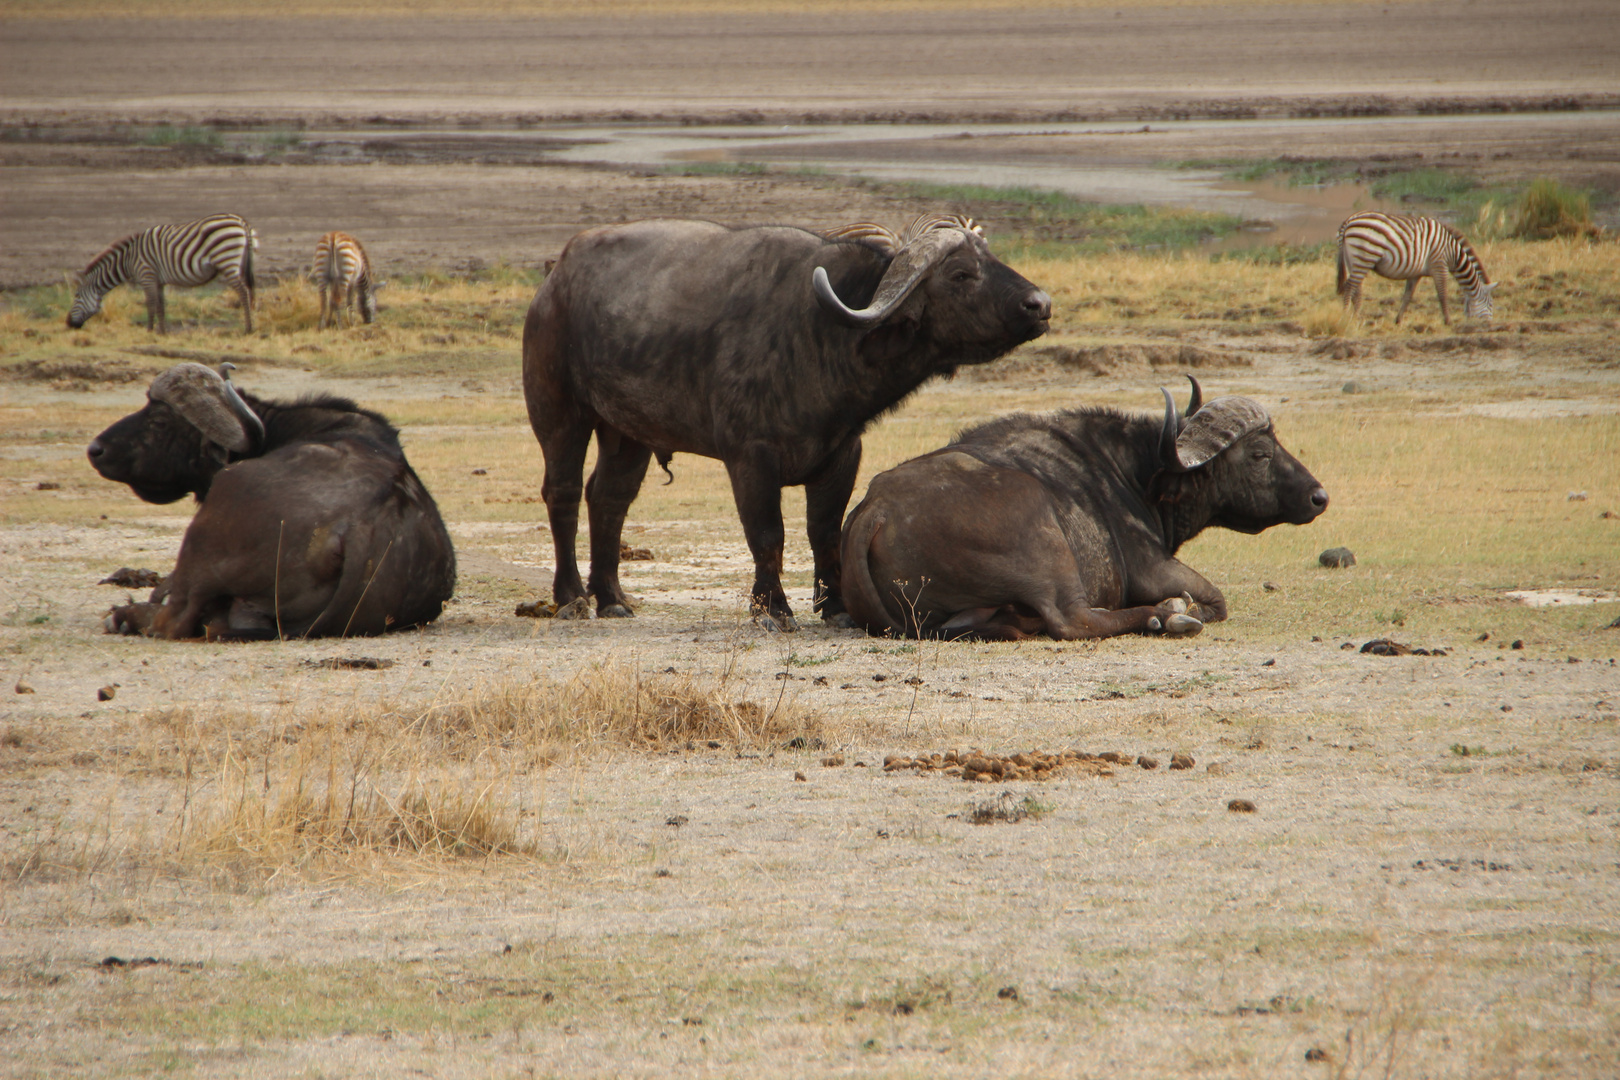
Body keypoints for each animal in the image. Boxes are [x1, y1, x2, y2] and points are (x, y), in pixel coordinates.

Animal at [70, 210, 257, 330]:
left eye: (77, 296)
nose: (68, 324)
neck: (128, 259)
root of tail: (241, 221)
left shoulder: (146, 275)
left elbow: (151, 303)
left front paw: (150, 330)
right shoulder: (158, 280)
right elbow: (161, 305)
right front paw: (161, 331)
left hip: (226, 260)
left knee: (242, 291)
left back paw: (248, 328)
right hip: (241, 262)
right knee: (249, 290)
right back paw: (251, 323)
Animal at [518, 213, 1049, 628]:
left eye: (992, 259)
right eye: (960, 274)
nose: (1040, 304)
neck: (818, 332)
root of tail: (555, 277)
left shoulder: (843, 453)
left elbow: (826, 532)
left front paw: (836, 607)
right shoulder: (750, 458)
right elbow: (768, 534)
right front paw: (773, 609)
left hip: (628, 433)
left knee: (609, 498)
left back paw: (612, 598)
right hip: (559, 414)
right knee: (563, 492)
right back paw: (571, 598)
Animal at [835, 375, 1328, 637]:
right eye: (1260, 453)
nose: (1318, 496)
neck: (1139, 475)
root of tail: (876, 510)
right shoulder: (1152, 568)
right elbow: (1216, 600)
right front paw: (1180, 608)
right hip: (1048, 549)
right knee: (1074, 619)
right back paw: (1165, 615)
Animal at [1334, 212, 1496, 325]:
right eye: (1490, 304)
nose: (1490, 325)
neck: (1453, 253)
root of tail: (1348, 221)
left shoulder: (1415, 274)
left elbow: (1408, 296)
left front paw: (1398, 320)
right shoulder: (1439, 265)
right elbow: (1442, 294)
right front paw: (1448, 321)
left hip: (1354, 262)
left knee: (1356, 289)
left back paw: (1356, 316)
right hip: (1365, 257)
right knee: (1349, 287)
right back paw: (1345, 317)